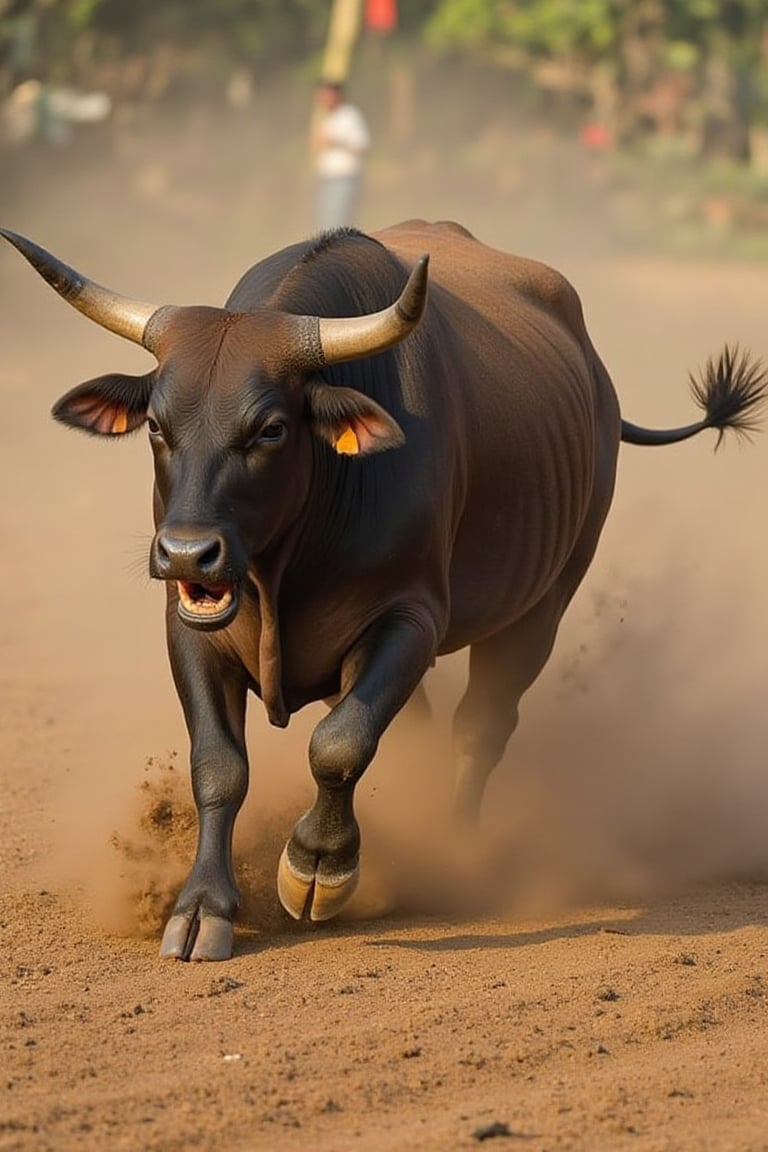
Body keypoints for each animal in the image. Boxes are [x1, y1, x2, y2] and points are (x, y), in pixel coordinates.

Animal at [2, 220, 765, 962]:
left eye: (270, 428)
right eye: (158, 425)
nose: (188, 551)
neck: (287, 558)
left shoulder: (410, 621)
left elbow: (340, 744)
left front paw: (318, 867)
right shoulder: (191, 629)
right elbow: (219, 766)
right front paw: (201, 908)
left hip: (544, 602)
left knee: (481, 726)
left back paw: (458, 850)